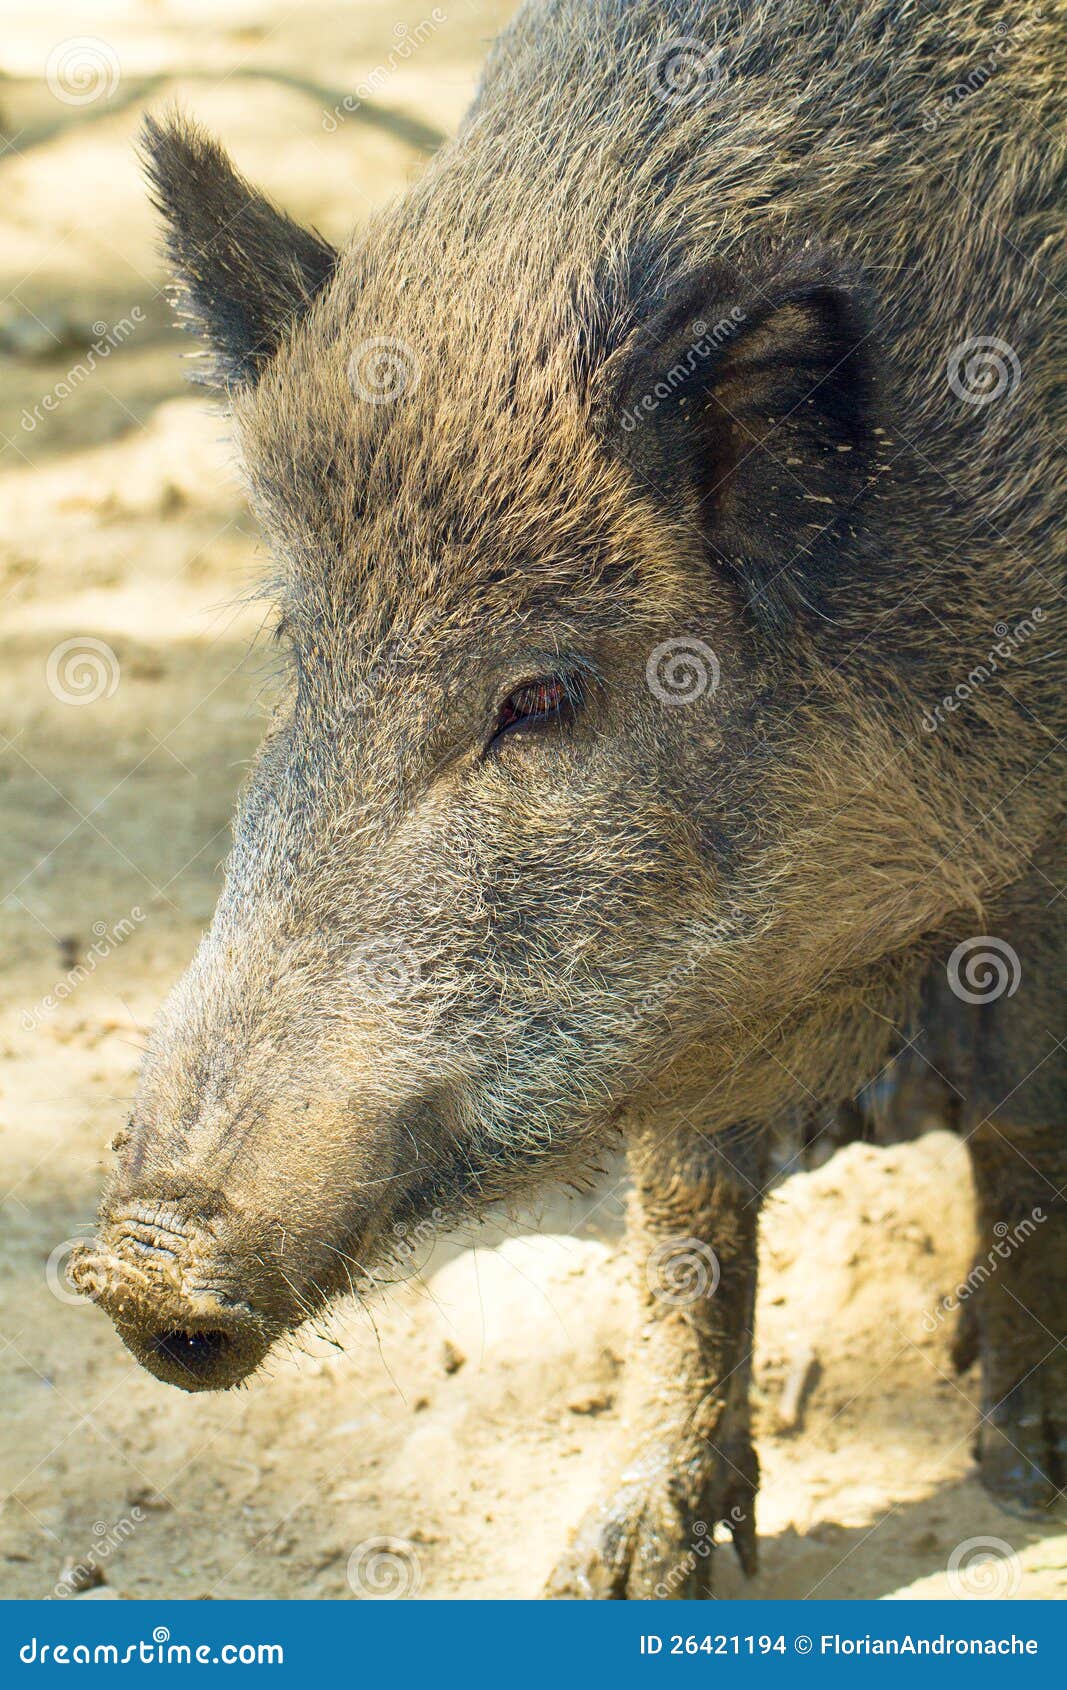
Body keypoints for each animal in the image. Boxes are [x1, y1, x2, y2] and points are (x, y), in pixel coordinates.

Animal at [72, 0, 1065, 1597]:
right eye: (299, 644)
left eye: (539, 696)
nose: (134, 1260)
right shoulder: (686, 998)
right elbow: (683, 1211)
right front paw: (617, 1565)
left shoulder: (1035, 857)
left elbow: (1025, 1130)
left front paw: (1023, 1478)